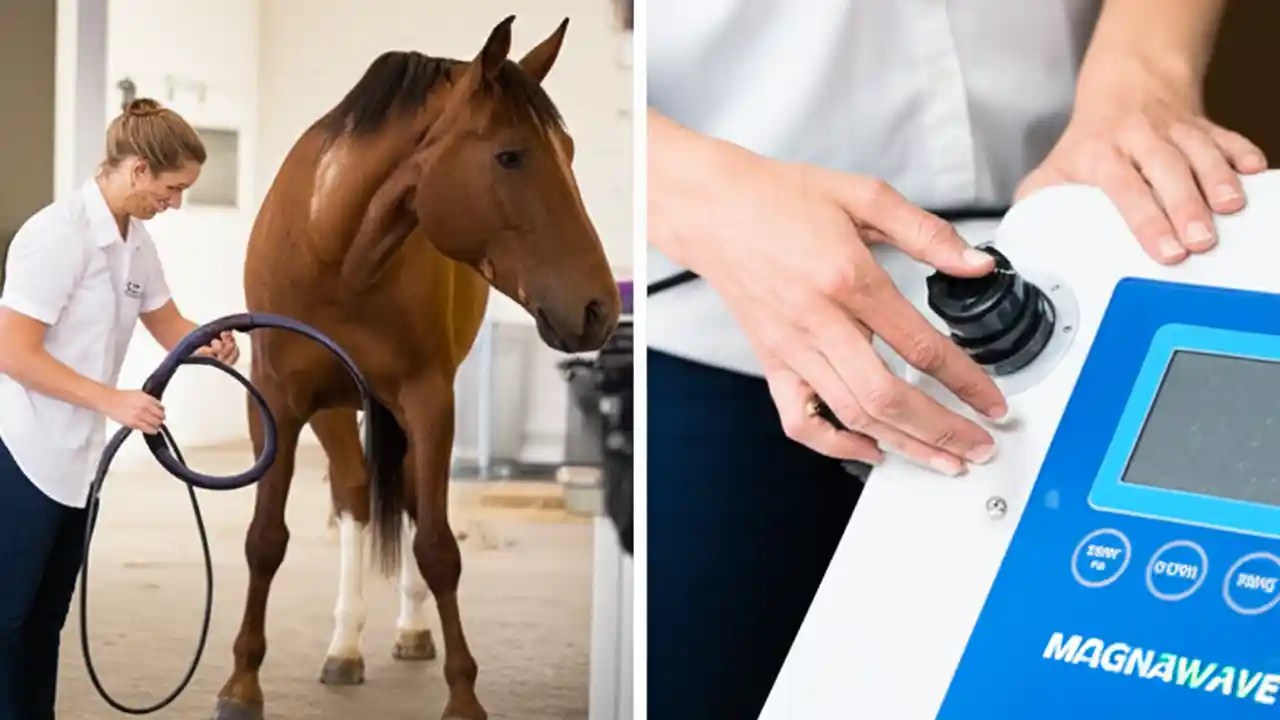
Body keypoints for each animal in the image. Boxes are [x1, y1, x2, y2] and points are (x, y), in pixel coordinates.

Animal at [211, 16, 621, 720]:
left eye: (568, 150)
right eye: (510, 156)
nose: (599, 308)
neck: (338, 253)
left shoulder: (428, 400)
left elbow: (436, 546)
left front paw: (464, 694)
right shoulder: (278, 401)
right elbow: (265, 538)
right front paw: (242, 683)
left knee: (404, 498)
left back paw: (408, 631)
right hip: (335, 409)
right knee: (354, 495)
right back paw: (345, 645)